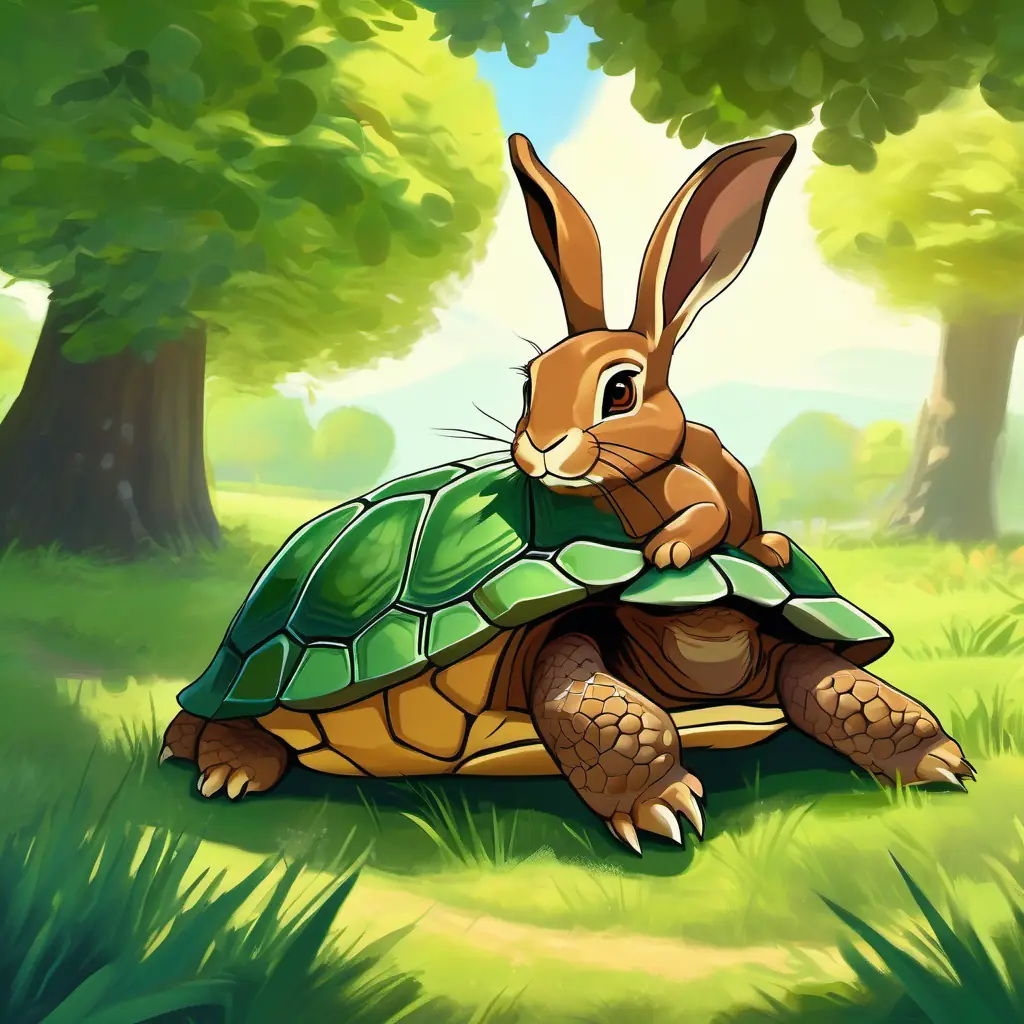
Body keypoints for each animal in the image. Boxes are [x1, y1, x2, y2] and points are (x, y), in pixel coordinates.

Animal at [508, 130, 795, 572]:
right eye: (528, 386)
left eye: (620, 391)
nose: (540, 446)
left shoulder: (705, 497)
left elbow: (712, 513)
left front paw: (668, 548)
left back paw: (773, 549)